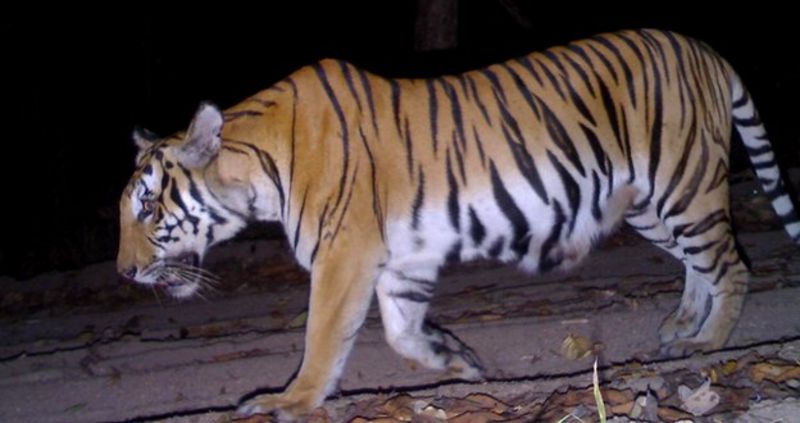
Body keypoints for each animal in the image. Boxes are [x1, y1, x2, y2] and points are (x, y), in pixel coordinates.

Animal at [117, 29, 799, 419]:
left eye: (147, 208)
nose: (124, 273)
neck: (259, 168)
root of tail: (704, 49)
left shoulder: (344, 256)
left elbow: (323, 337)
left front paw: (290, 401)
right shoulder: (402, 259)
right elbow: (401, 332)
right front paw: (456, 361)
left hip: (684, 185)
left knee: (730, 265)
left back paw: (708, 343)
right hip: (649, 204)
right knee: (696, 264)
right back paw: (682, 326)